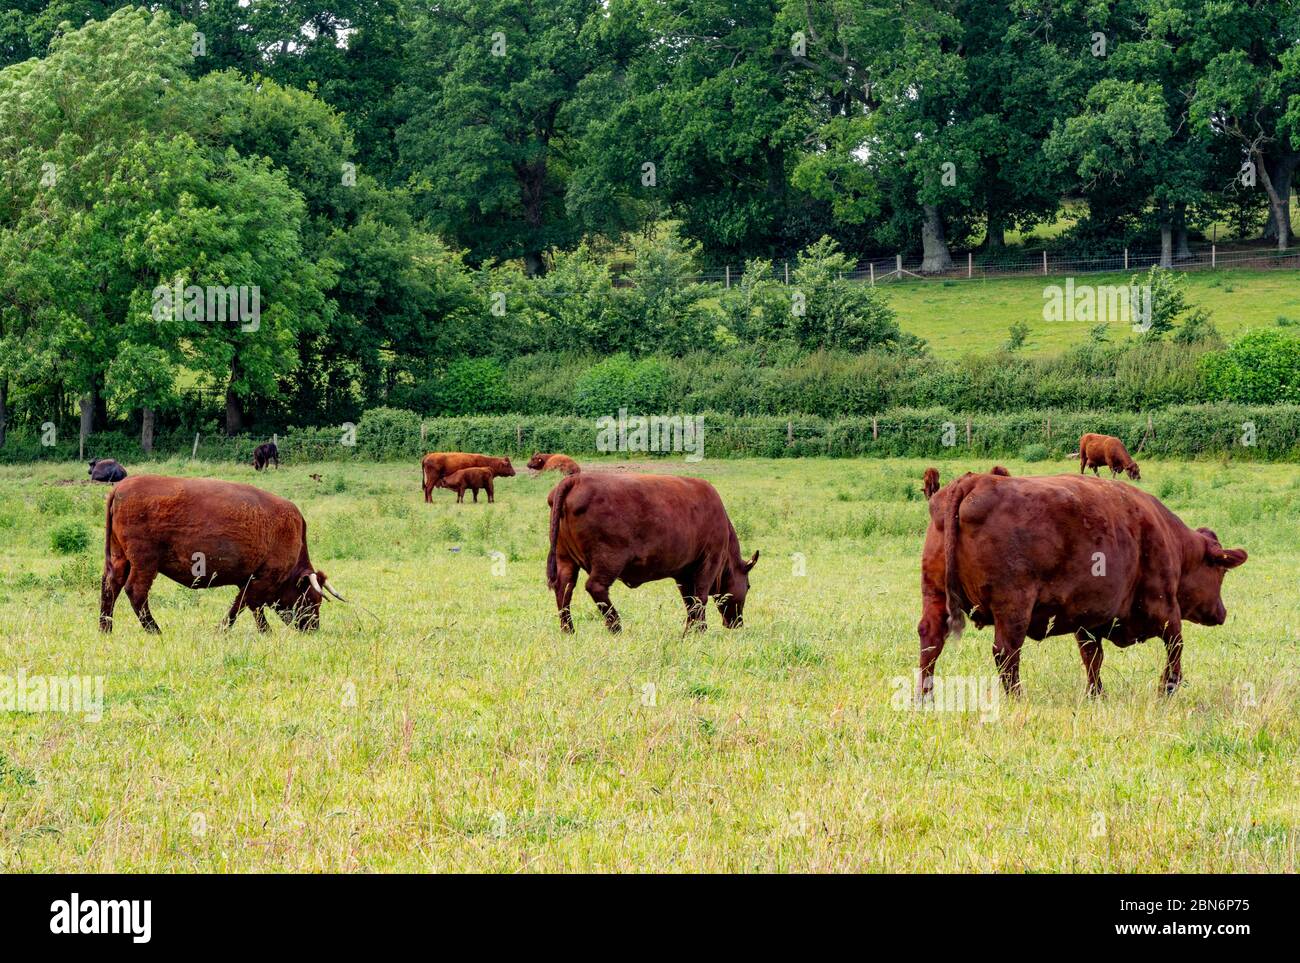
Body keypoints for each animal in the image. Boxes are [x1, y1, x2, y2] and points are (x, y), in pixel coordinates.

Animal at [100, 475, 345, 639]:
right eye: (311, 599)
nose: (313, 628)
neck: (291, 534)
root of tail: (119, 488)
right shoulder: (260, 581)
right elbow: (244, 606)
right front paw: (230, 630)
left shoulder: (249, 581)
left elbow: (248, 606)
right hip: (145, 564)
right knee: (135, 591)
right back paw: (155, 630)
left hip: (121, 558)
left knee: (111, 586)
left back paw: (105, 628)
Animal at [543, 470, 759, 631]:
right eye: (748, 586)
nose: (737, 624)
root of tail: (575, 479)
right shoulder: (710, 560)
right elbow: (700, 597)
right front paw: (698, 630)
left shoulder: (684, 572)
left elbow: (690, 601)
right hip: (608, 559)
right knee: (595, 587)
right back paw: (616, 627)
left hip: (565, 558)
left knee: (564, 588)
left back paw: (569, 630)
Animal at [920, 473, 1242, 696]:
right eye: (1221, 573)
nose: (1222, 612)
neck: (1169, 538)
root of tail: (975, 480)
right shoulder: (1165, 609)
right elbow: (1175, 650)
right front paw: (1167, 689)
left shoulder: (1087, 622)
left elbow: (1092, 659)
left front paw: (1096, 694)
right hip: (1013, 606)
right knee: (1006, 652)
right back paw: (1017, 697)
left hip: (934, 594)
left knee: (931, 640)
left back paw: (925, 697)